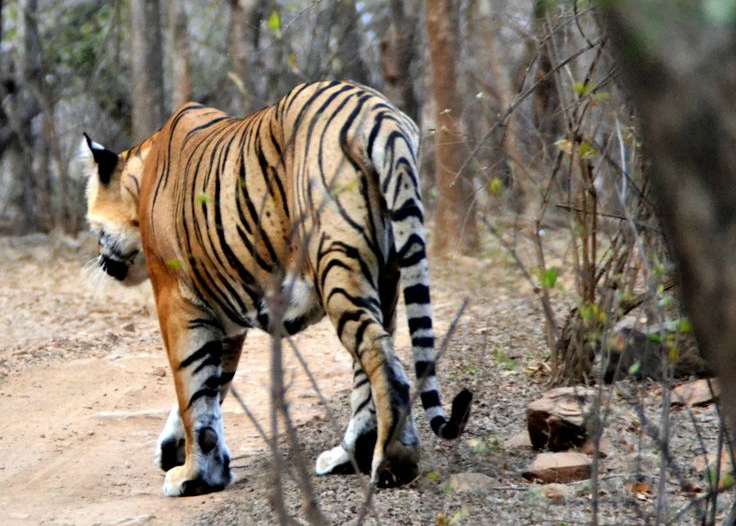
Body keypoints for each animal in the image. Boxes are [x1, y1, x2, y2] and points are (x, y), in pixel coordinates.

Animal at [81, 80, 472, 497]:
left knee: (379, 356)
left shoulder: (178, 299)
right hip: (387, 276)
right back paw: (348, 456)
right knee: (372, 367)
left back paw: (392, 463)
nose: (101, 261)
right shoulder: (224, 318)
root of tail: (378, 114)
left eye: (94, 228)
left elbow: (192, 387)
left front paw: (194, 476)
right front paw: (182, 453)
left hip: (338, 267)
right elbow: (212, 388)